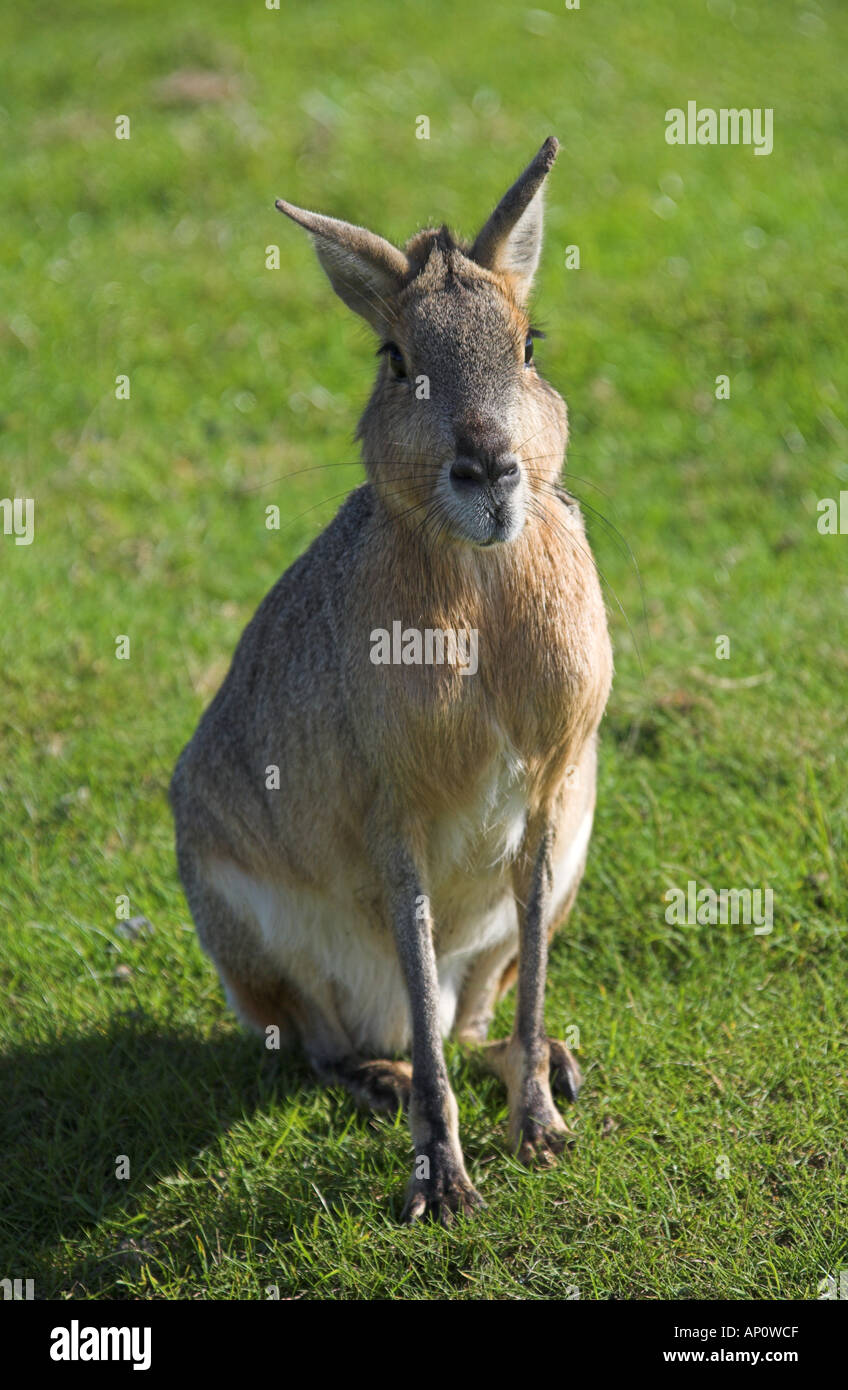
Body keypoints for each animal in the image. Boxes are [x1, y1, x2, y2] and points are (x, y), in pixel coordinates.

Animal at [170, 136, 613, 1224]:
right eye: (396, 362)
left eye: (530, 347)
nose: (487, 466)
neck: (480, 587)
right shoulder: (392, 810)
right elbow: (410, 952)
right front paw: (442, 1183)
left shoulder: (550, 793)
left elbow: (529, 957)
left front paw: (541, 1133)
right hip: (247, 934)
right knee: (336, 1041)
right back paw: (386, 1081)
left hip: (543, 891)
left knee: (471, 1017)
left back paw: (550, 1061)